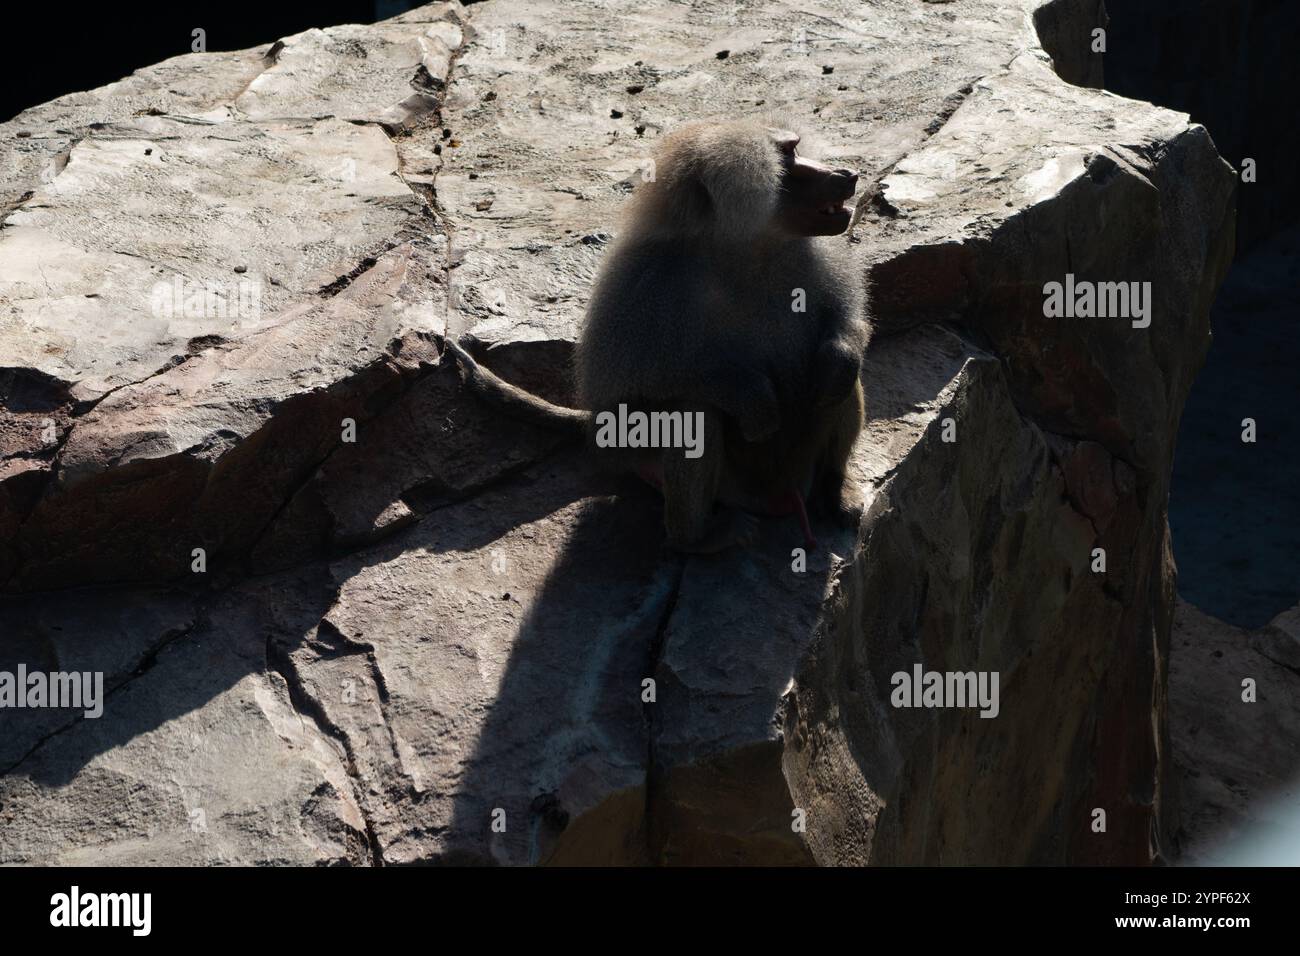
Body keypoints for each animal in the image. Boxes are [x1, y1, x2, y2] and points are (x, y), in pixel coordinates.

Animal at [446, 118, 871, 553]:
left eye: (795, 147)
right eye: (787, 158)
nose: (848, 175)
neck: (744, 251)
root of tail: (782, 497)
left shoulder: (816, 256)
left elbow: (846, 328)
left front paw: (839, 353)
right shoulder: (641, 281)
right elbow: (627, 394)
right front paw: (752, 399)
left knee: (837, 377)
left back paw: (836, 488)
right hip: (717, 484)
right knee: (694, 409)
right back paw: (699, 537)